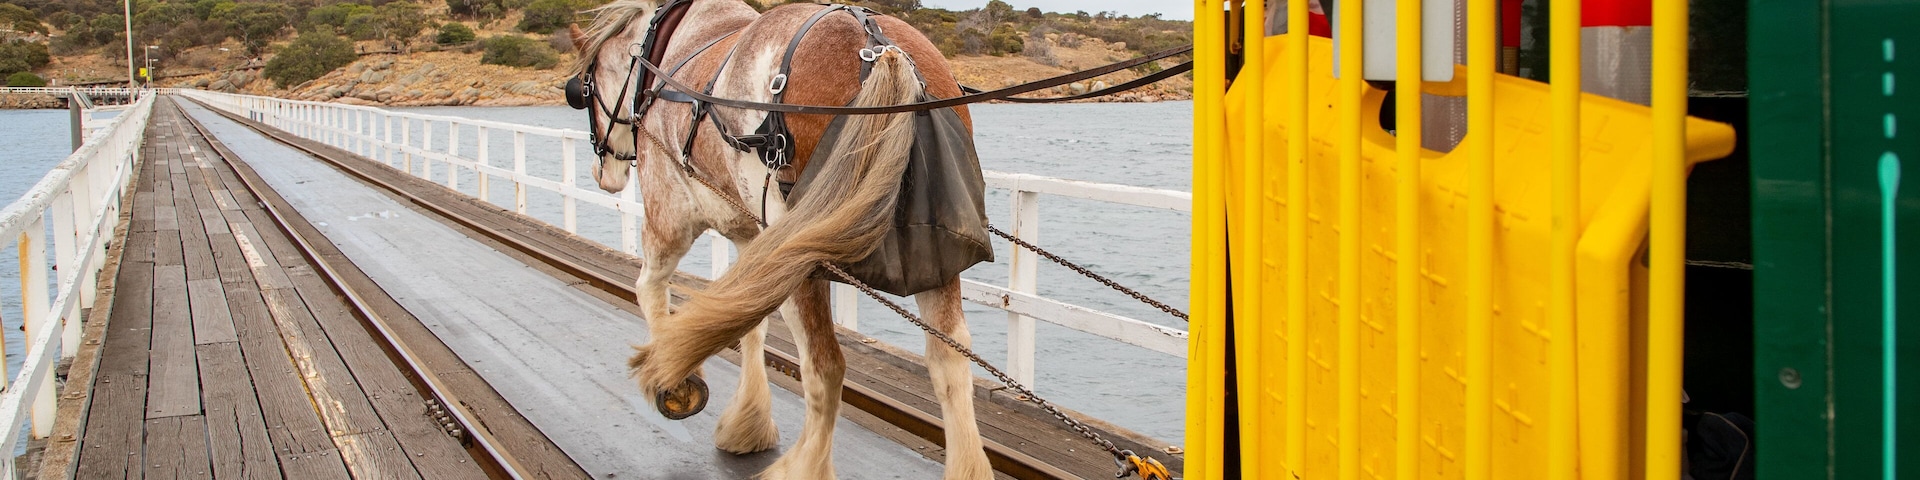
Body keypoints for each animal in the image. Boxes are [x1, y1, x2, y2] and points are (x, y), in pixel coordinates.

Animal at [567, 1, 992, 478]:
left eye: (582, 89)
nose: (602, 171)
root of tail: (881, 52)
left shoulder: (669, 216)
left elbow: (650, 289)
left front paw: (672, 382)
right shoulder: (751, 241)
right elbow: (746, 322)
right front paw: (747, 422)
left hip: (799, 255)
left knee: (825, 367)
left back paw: (802, 464)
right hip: (935, 252)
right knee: (950, 360)